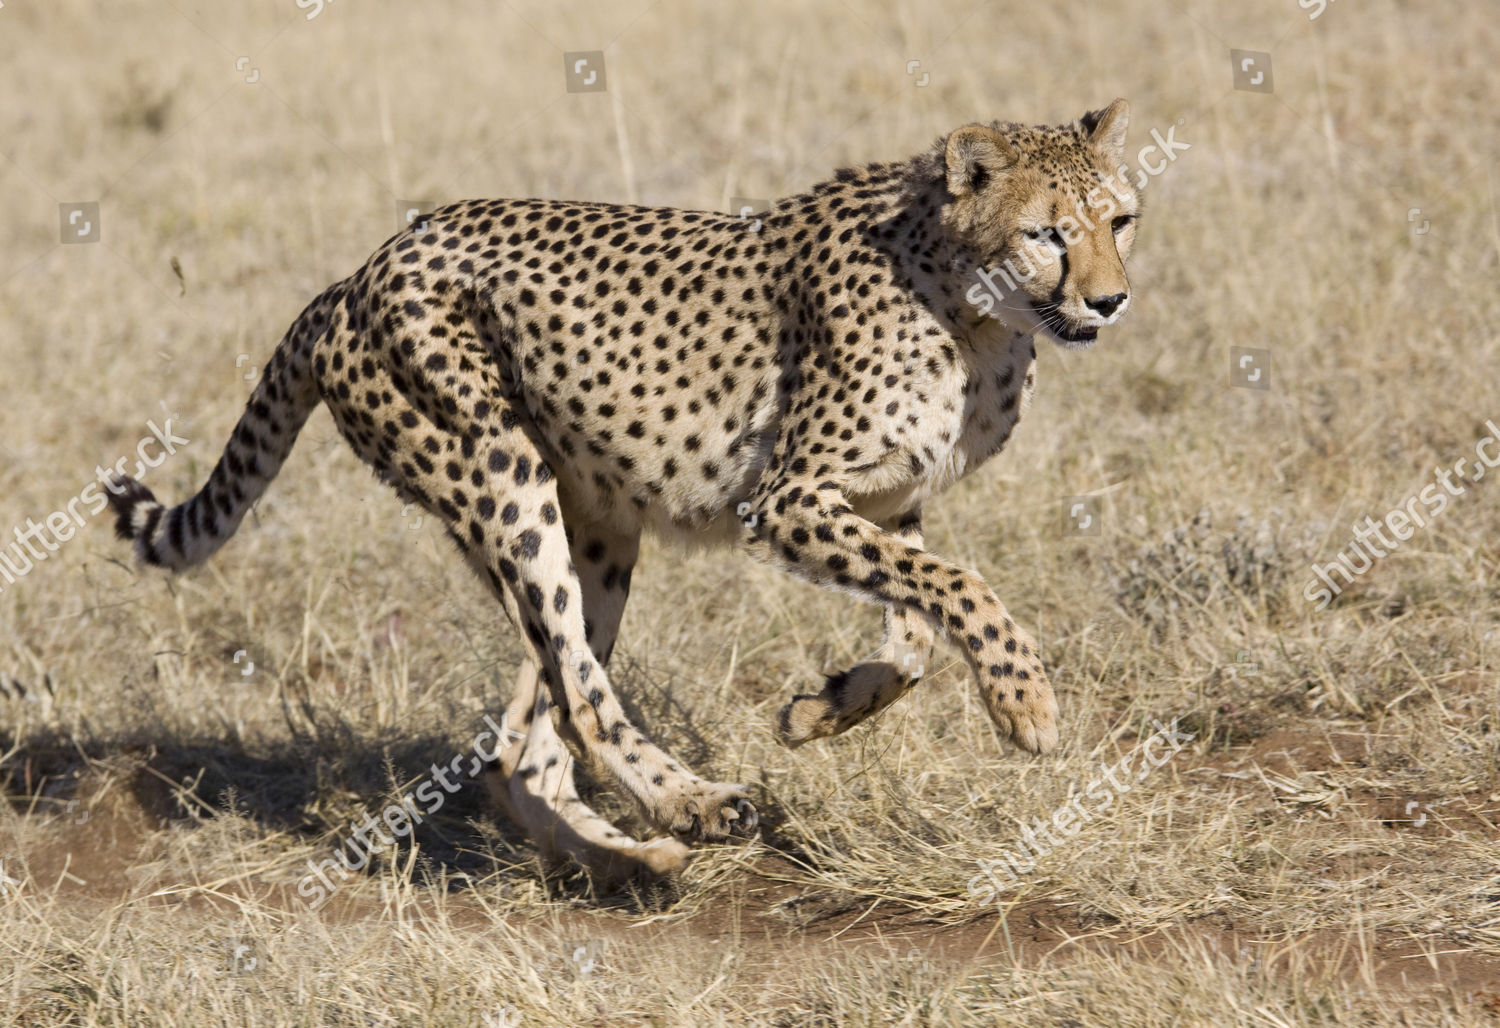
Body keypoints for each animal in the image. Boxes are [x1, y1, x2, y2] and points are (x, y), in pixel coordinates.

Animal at [104, 99, 1141, 885]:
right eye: (1048, 232)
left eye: (1119, 221)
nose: (1111, 299)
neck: (975, 310)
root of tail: (358, 271)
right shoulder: (790, 501)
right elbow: (964, 590)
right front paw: (1025, 703)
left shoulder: (888, 503)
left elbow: (920, 629)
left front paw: (823, 709)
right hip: (502, 476)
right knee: (578, 705)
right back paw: (694, 803)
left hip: (595, 530)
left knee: (527, 741)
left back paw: (632, 860)